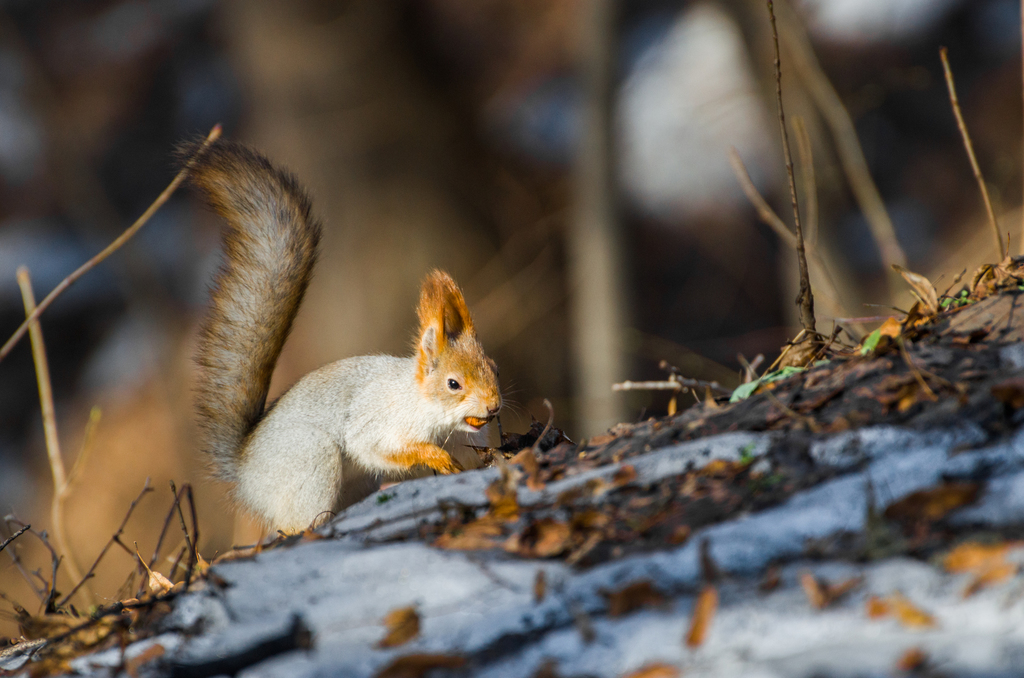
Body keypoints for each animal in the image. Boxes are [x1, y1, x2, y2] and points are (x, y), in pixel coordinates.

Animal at [180, 139, 502, 533]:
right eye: (453, 384)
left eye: (495, 368)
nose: (494, 406)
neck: (430, 409)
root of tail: (245, 470)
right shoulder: (378, 421)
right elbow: (375, 447)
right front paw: (434, 458)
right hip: (312, 462)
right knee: (296, 523)